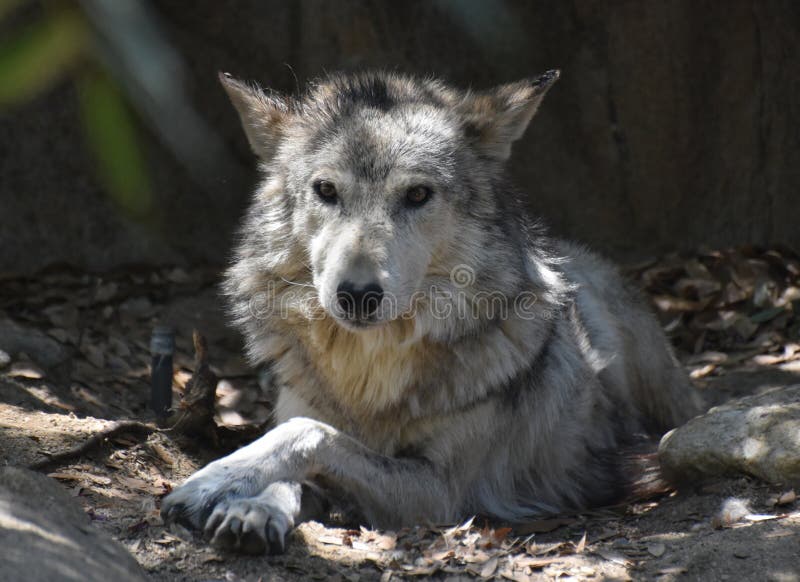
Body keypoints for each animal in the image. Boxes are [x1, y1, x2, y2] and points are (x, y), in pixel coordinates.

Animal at [161, 69, 701, 554]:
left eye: (417, 194)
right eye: (326, 191)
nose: (357, 294)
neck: (368, 377)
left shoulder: (441, 493)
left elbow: (308, 436)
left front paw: (214, 479)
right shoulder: (309, 415)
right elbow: (295, 453)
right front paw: (251, 505)